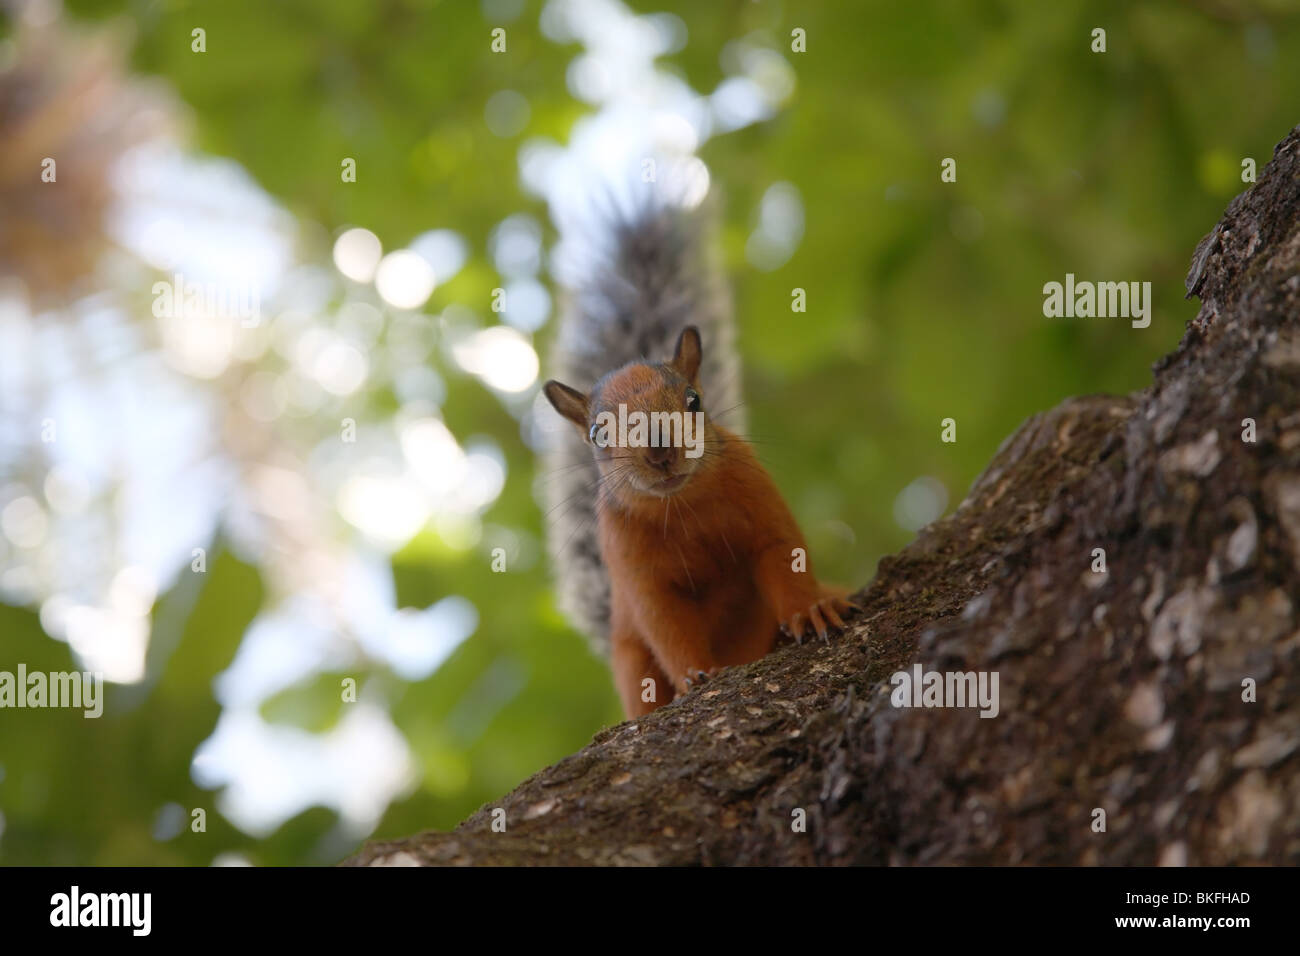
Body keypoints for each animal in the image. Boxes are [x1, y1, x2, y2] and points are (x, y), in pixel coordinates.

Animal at [540, 188, 853, 718]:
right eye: (598, 433)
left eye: (693, 401)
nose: (660, 453)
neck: (685, 506)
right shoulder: (633, 566)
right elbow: (666, 624)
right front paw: (695, 677)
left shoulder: (759, 499)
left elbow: (782, 557)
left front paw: (810, 610)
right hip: (628, 657)